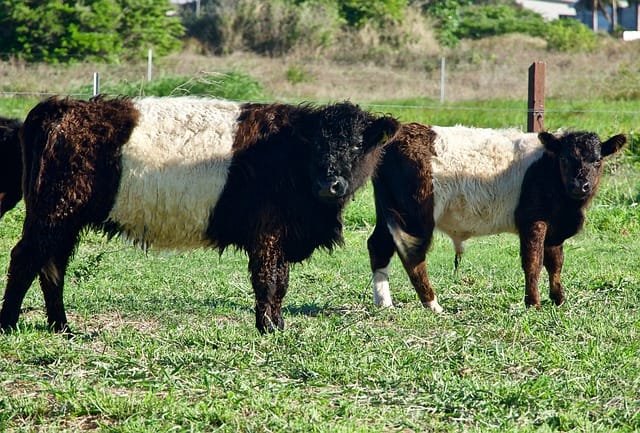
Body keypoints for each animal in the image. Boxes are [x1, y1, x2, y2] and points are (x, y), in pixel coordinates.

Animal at [0, 96, 399, 334]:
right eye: (316, 145)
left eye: (357, 145)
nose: (330, 183)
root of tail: (61, 105)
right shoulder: (268, 233)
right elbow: (268, 280)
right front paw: (267, 328)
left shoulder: (280, 236)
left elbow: (280, 282)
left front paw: (277, 325)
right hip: (53, 212)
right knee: (25, 259)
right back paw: (9, 324)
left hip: (64, 218)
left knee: (52, 265)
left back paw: (62, 326)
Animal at [367, 123, 626, 312]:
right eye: (564, 159)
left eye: (597, 161)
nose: (579, 185)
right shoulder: (533, 220)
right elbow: (533, 262)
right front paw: (533, 303)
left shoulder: (554, 228)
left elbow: (555, 263)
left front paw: (558, 299)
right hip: (416, 216)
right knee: (413, 255)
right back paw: (433, 304)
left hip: (388, 211)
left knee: (378, 246)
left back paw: (384, 303)